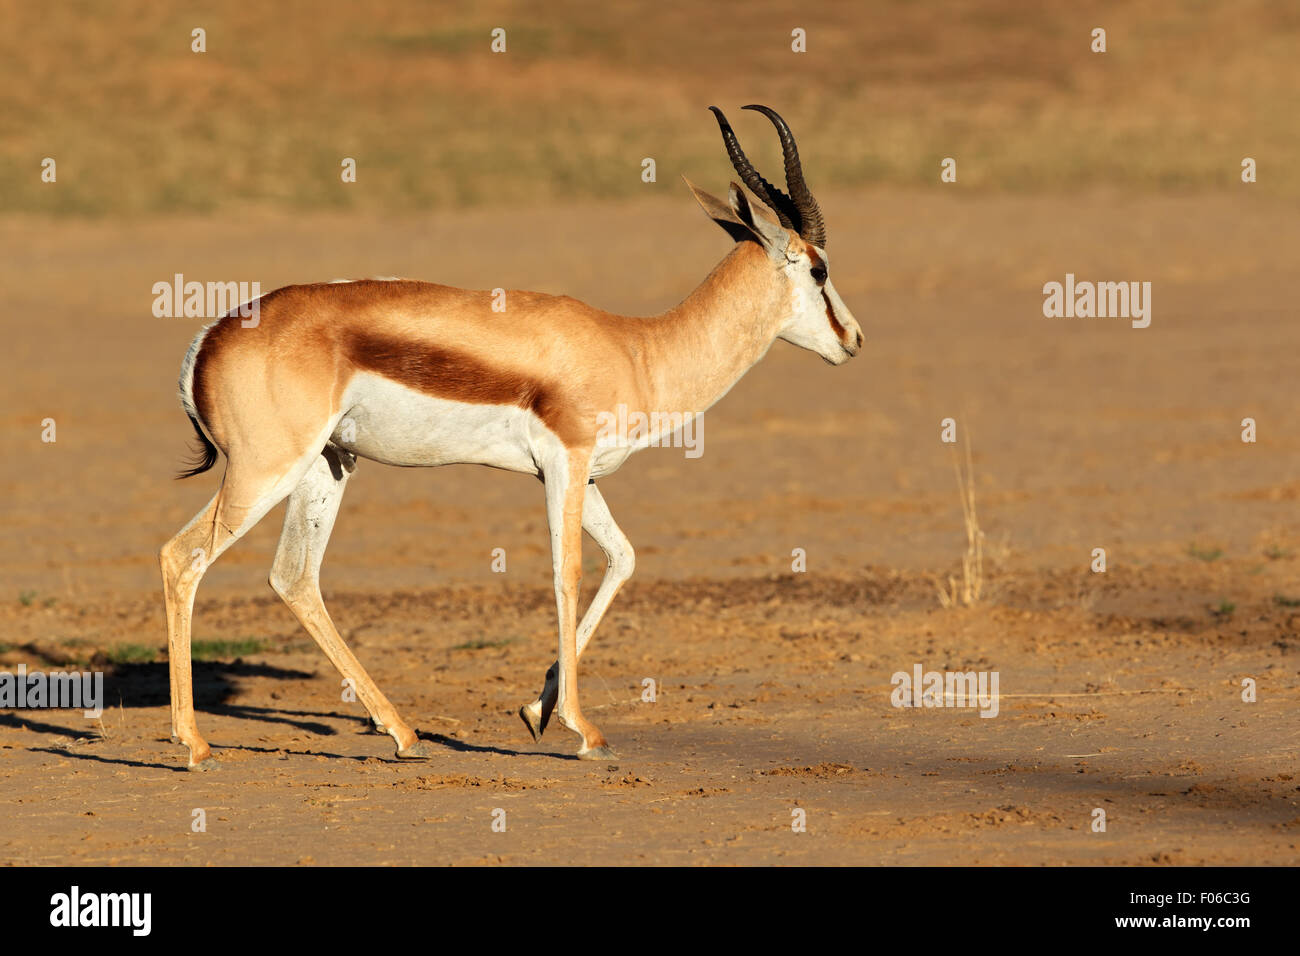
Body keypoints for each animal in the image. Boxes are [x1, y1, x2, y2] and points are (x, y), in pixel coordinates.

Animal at [160, 105, 863, 769]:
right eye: (819, 269)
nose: (854, 339)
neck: (638, 350)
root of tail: (209, 338)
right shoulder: (566, 462)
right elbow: (567, 571)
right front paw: (585, 731)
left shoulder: (580, 471)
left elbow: (623, 558)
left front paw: (536, 711)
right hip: (265, 471)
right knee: (182, 557)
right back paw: (195, 745)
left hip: (326, 466)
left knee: (294, 577)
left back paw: (404, 735)